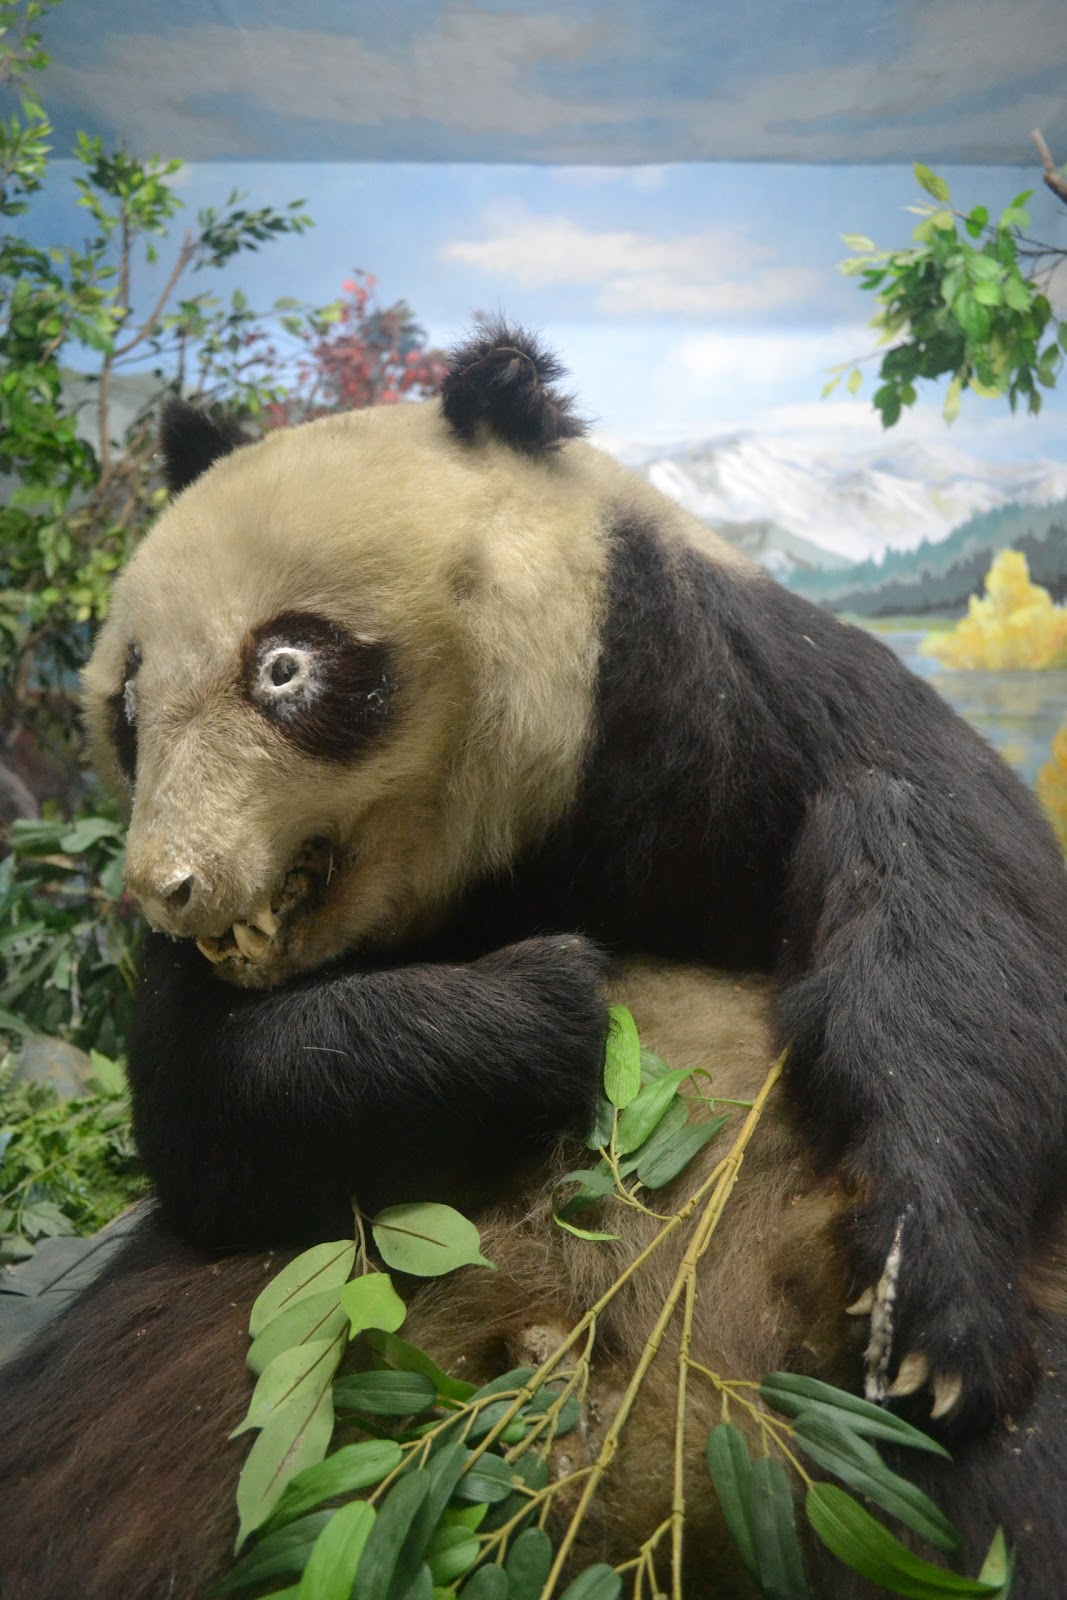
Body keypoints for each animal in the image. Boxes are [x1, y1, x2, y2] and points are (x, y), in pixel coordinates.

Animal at [1, 323, 1066, 1595]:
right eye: (125, 695)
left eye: (285, 668)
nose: (167, 886)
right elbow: (211, 1112)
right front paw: (550, 997)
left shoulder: (744, 705)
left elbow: (951, 921)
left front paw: (921, 1315)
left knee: (1014, 1482)